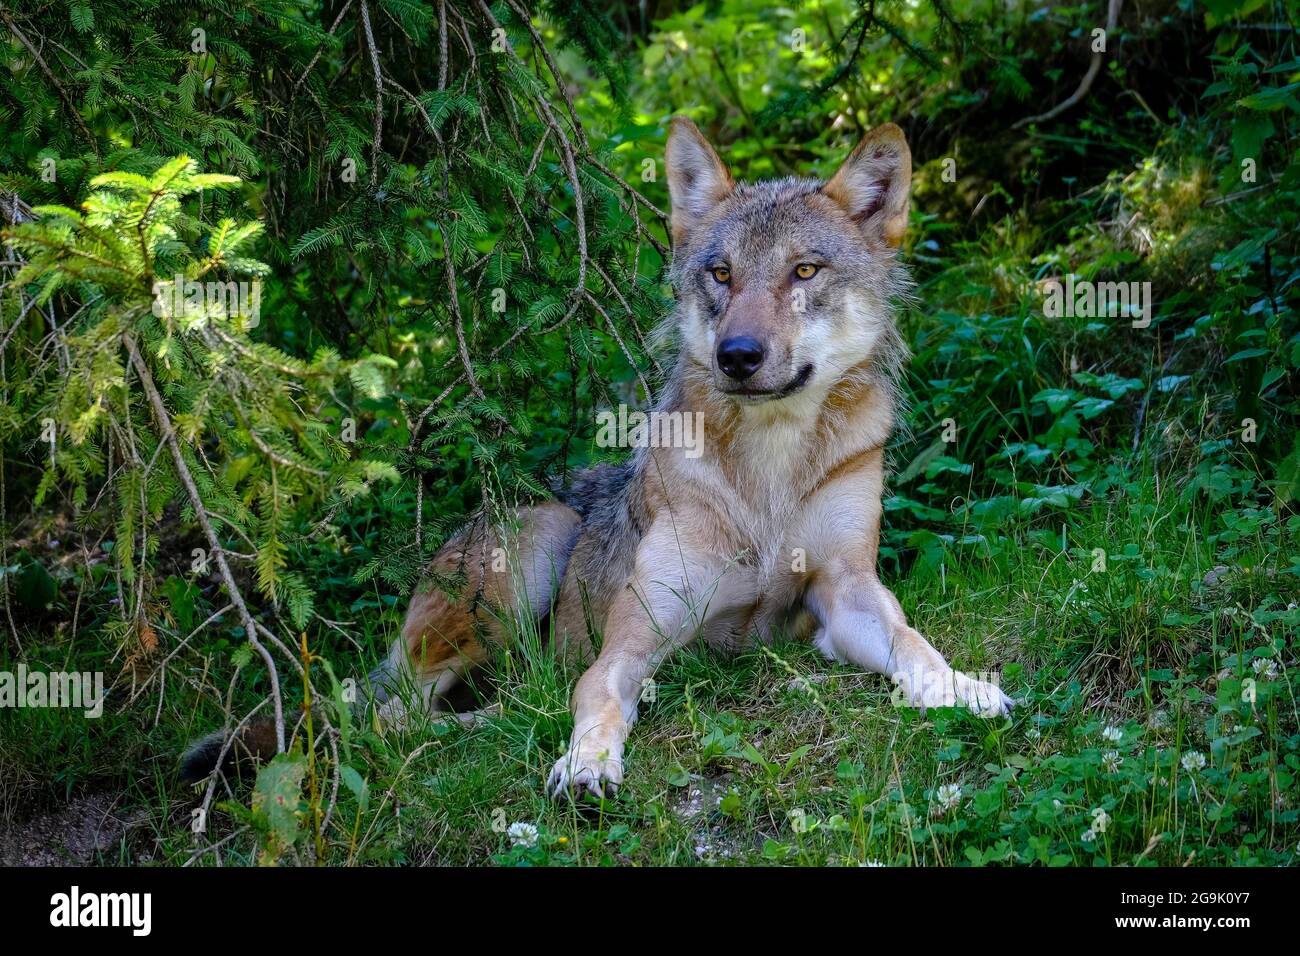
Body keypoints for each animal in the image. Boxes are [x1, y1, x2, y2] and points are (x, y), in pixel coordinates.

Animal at [180, 118, 1012, 798]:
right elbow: (598, 694)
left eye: (804, 271)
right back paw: (495, 721)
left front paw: (966, 688)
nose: (738, 356)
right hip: (533, 546)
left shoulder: (844, 594)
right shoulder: (639, 634)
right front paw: (585, 765)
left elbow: (913, 644)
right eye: (721, 274)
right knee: (396, 721)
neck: (767, 475)